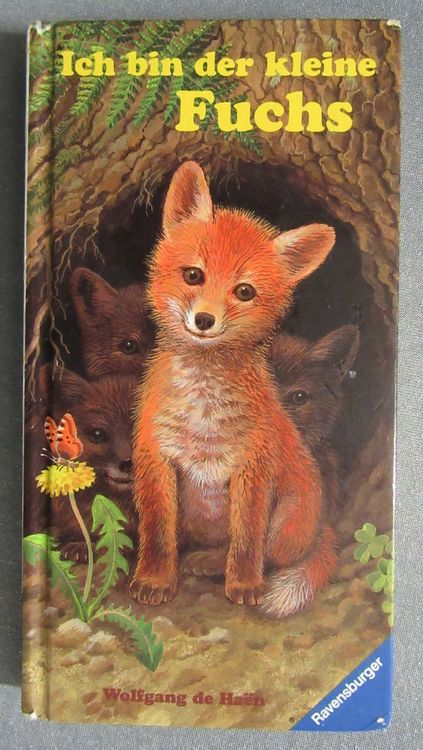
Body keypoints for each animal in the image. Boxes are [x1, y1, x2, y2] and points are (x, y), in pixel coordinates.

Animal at [130, 160, 338, 618]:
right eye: (194, 275)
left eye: (244, 291)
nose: (204, 320)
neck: (203, 408)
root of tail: (323, 525)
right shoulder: (155, 456)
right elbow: (157, 532)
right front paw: (154, 579)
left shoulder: (252, 465)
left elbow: (246, 539)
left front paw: (243, 583)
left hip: (288, 522)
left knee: (270, 552)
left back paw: (214, 564)